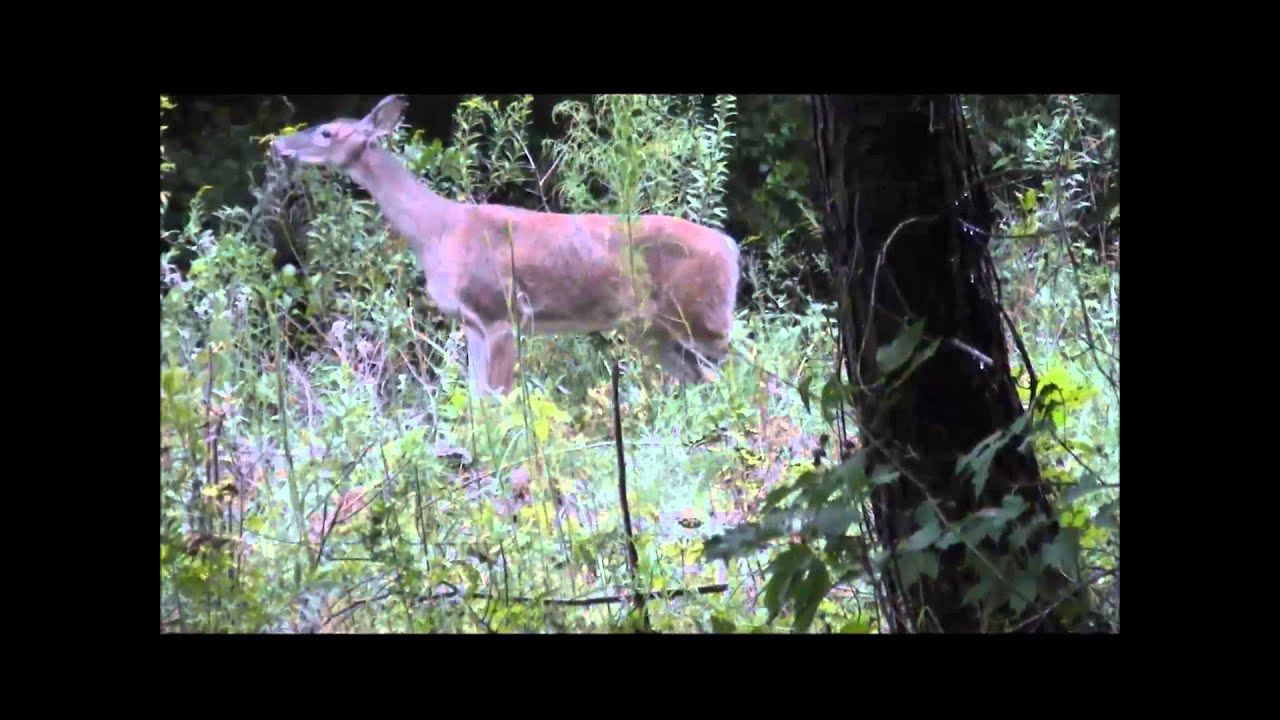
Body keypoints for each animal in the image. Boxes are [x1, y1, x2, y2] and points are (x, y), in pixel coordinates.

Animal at [270, 95, 741, 396]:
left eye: (328, 132)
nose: (279, 144)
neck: (437, 231)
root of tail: (730, 247)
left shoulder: (501, 312)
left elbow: (498, 402)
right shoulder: (470, 322)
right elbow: (477, 401)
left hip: (701, 312)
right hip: (649, 328)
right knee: (705, 378)